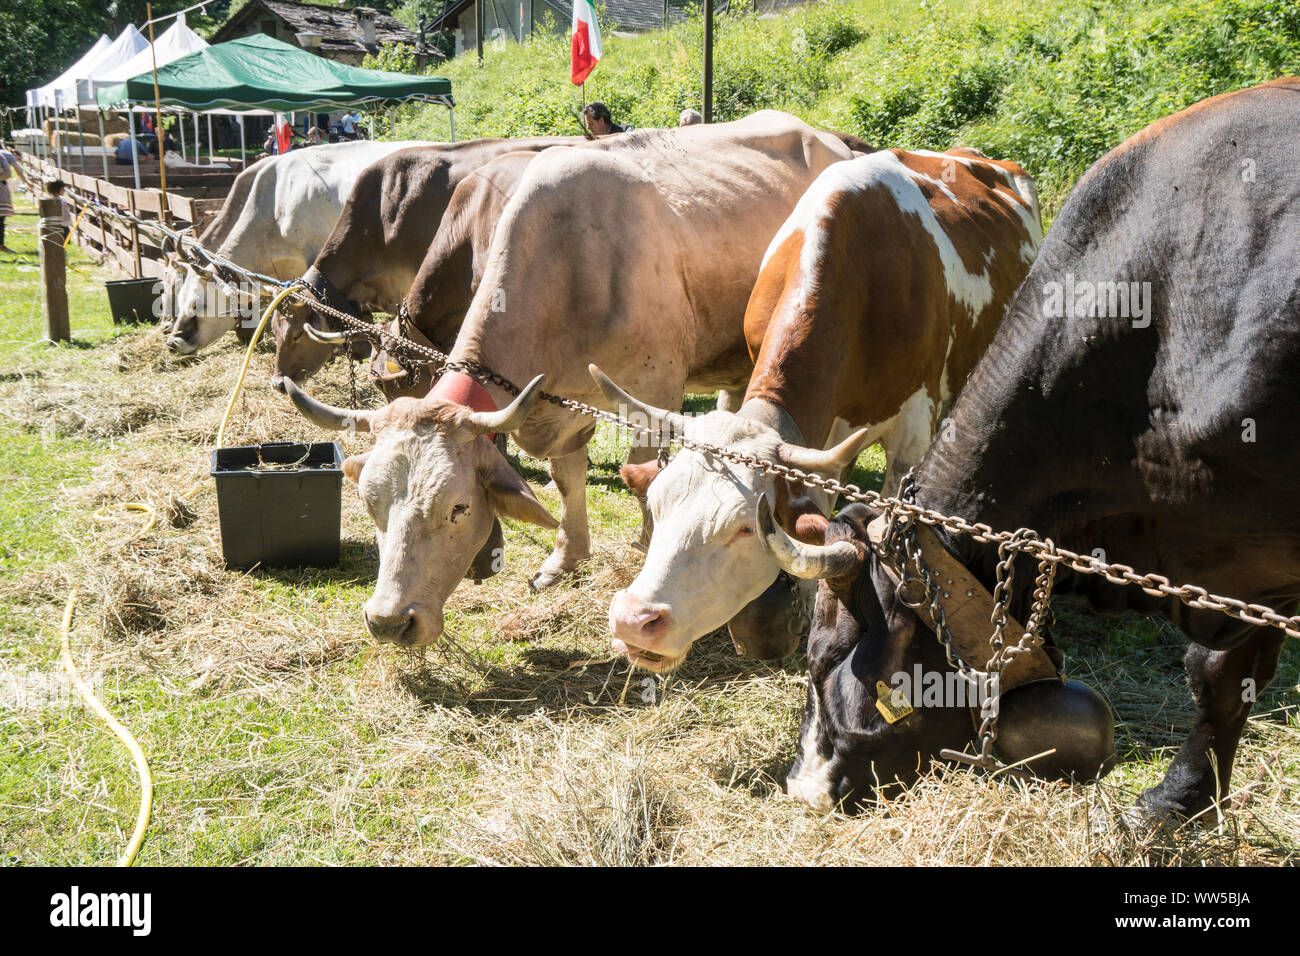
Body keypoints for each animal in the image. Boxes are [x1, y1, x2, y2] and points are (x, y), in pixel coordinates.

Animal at [754, 78, 1300, 817]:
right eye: (811, 653)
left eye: (867, 666)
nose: (806, 789)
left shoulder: (1258, 567)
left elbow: (1216, 674)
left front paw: (1172, 802)